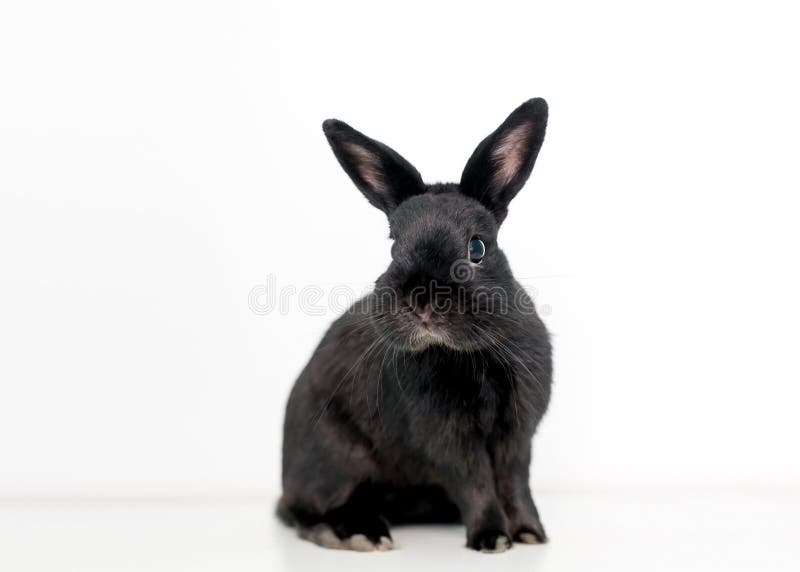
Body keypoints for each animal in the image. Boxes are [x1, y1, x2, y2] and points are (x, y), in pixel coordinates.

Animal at [277, 99, 552, 553]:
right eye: (394, 246)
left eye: (478, 247)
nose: (422, 302)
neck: (471, 354)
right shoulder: (448, 439)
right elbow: (477, 484)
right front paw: (492, 538)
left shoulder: (517, 435)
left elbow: (515, 482)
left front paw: (531, 534)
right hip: (334, 459)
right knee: (305, 511)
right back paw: (359, 533)